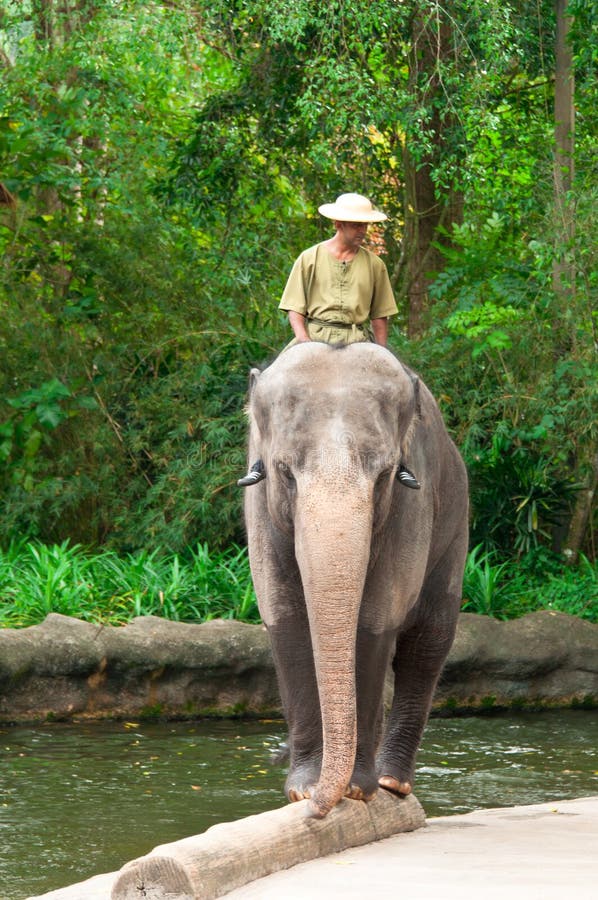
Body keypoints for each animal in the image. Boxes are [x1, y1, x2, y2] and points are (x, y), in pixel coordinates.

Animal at [244, 341, 469, 819]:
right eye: (284, 473)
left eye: (384, 476)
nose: (317, 810)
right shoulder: (259, 508)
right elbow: (285, 618)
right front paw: (302, 791)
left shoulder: (412, 500)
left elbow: (376, 618)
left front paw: (356, 791)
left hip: (455, 522)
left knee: (428, 644)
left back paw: (391, 783)